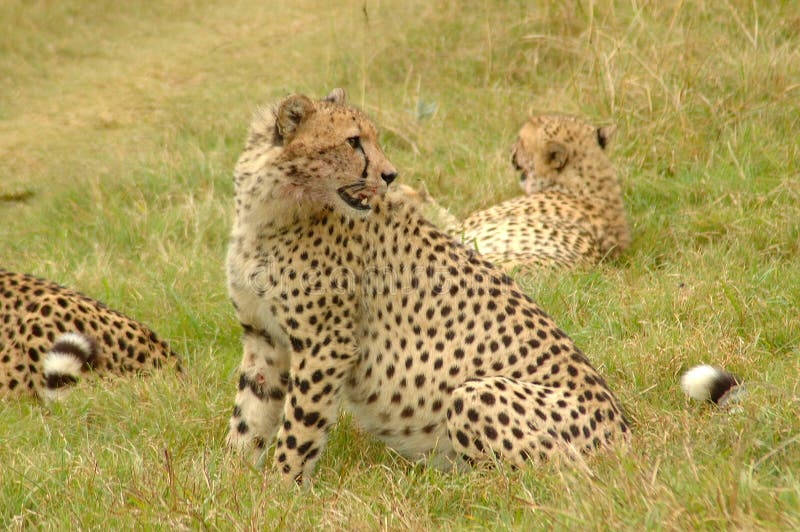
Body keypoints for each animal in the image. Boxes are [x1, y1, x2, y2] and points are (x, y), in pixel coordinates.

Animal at [224, 89, 629, 485]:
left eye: (372, 139)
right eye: (352, 141)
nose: (390, 175)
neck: (268, 210)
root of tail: (625, 434)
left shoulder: (327, 344)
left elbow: (300, 427)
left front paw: (283, 486)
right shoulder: (264, 338)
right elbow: (249, 416)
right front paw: (233, 478)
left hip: (476, 393)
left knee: (549, 476)